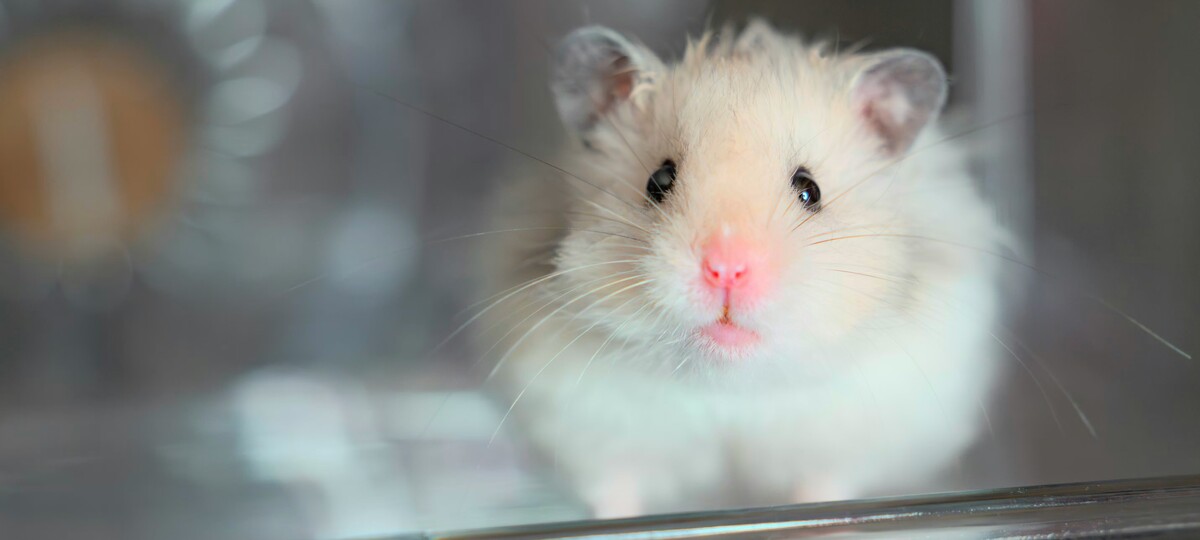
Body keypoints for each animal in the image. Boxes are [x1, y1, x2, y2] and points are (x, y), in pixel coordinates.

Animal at [479, 20, 1008, 518]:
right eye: (658, 180)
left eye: (810, 190)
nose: (726, 270)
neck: (730, 384)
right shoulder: (583, 427)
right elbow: (615, 494)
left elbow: (823, 488)